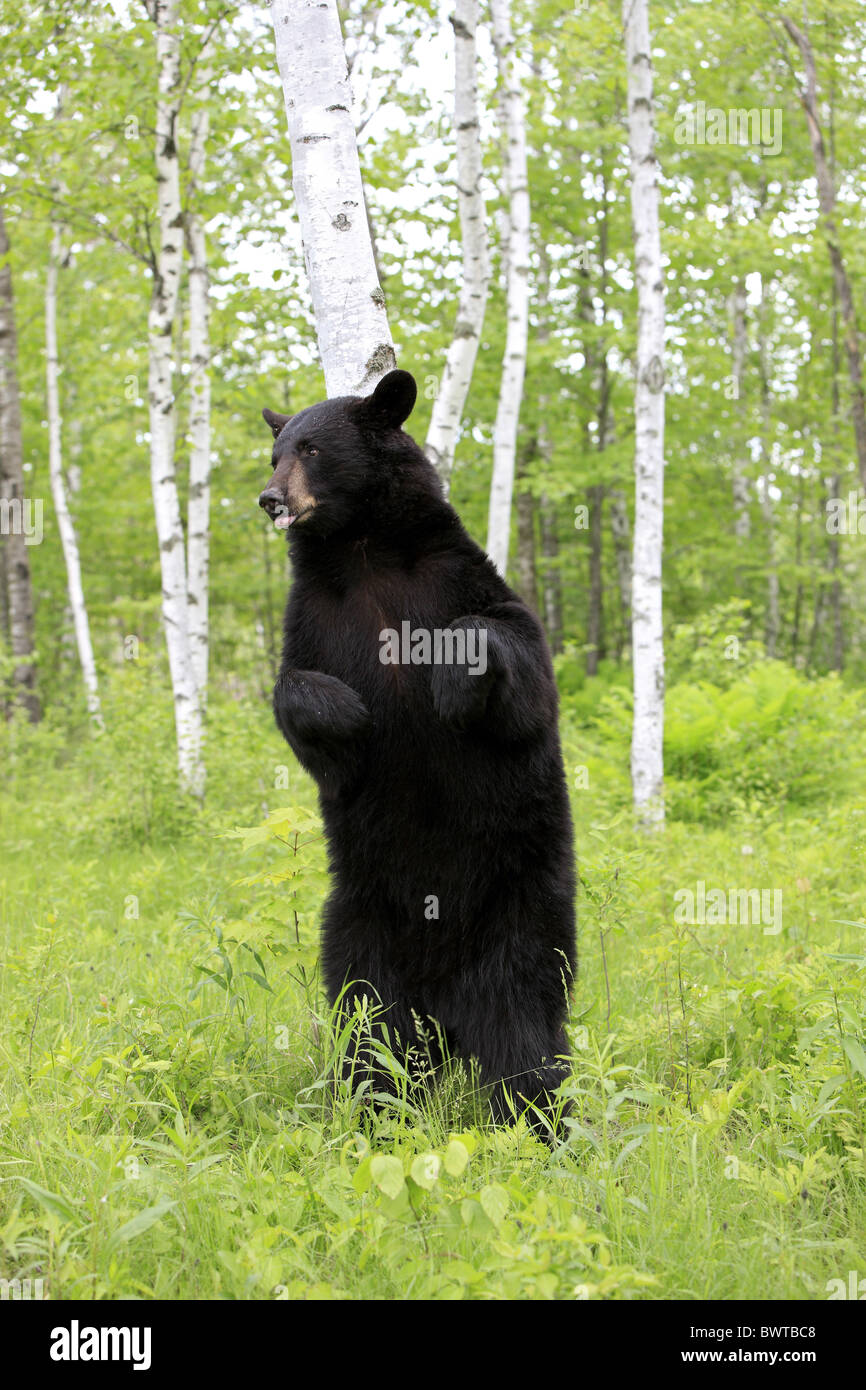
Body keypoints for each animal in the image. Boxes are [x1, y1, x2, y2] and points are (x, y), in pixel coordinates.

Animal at [258, 369, 576, 1135]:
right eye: (274, 453)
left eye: (312, 449)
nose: (271, 499)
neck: (362, 551)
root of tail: (447, 1016)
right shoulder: (315, 617)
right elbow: (294, 690)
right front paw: (345, 713)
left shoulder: (455, 579)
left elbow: (512, 650)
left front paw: (451, 681)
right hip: (358, 927)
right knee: (370, 1031)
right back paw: (375, 1117)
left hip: (522, 916)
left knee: (525, 1033)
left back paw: (540, 1126)